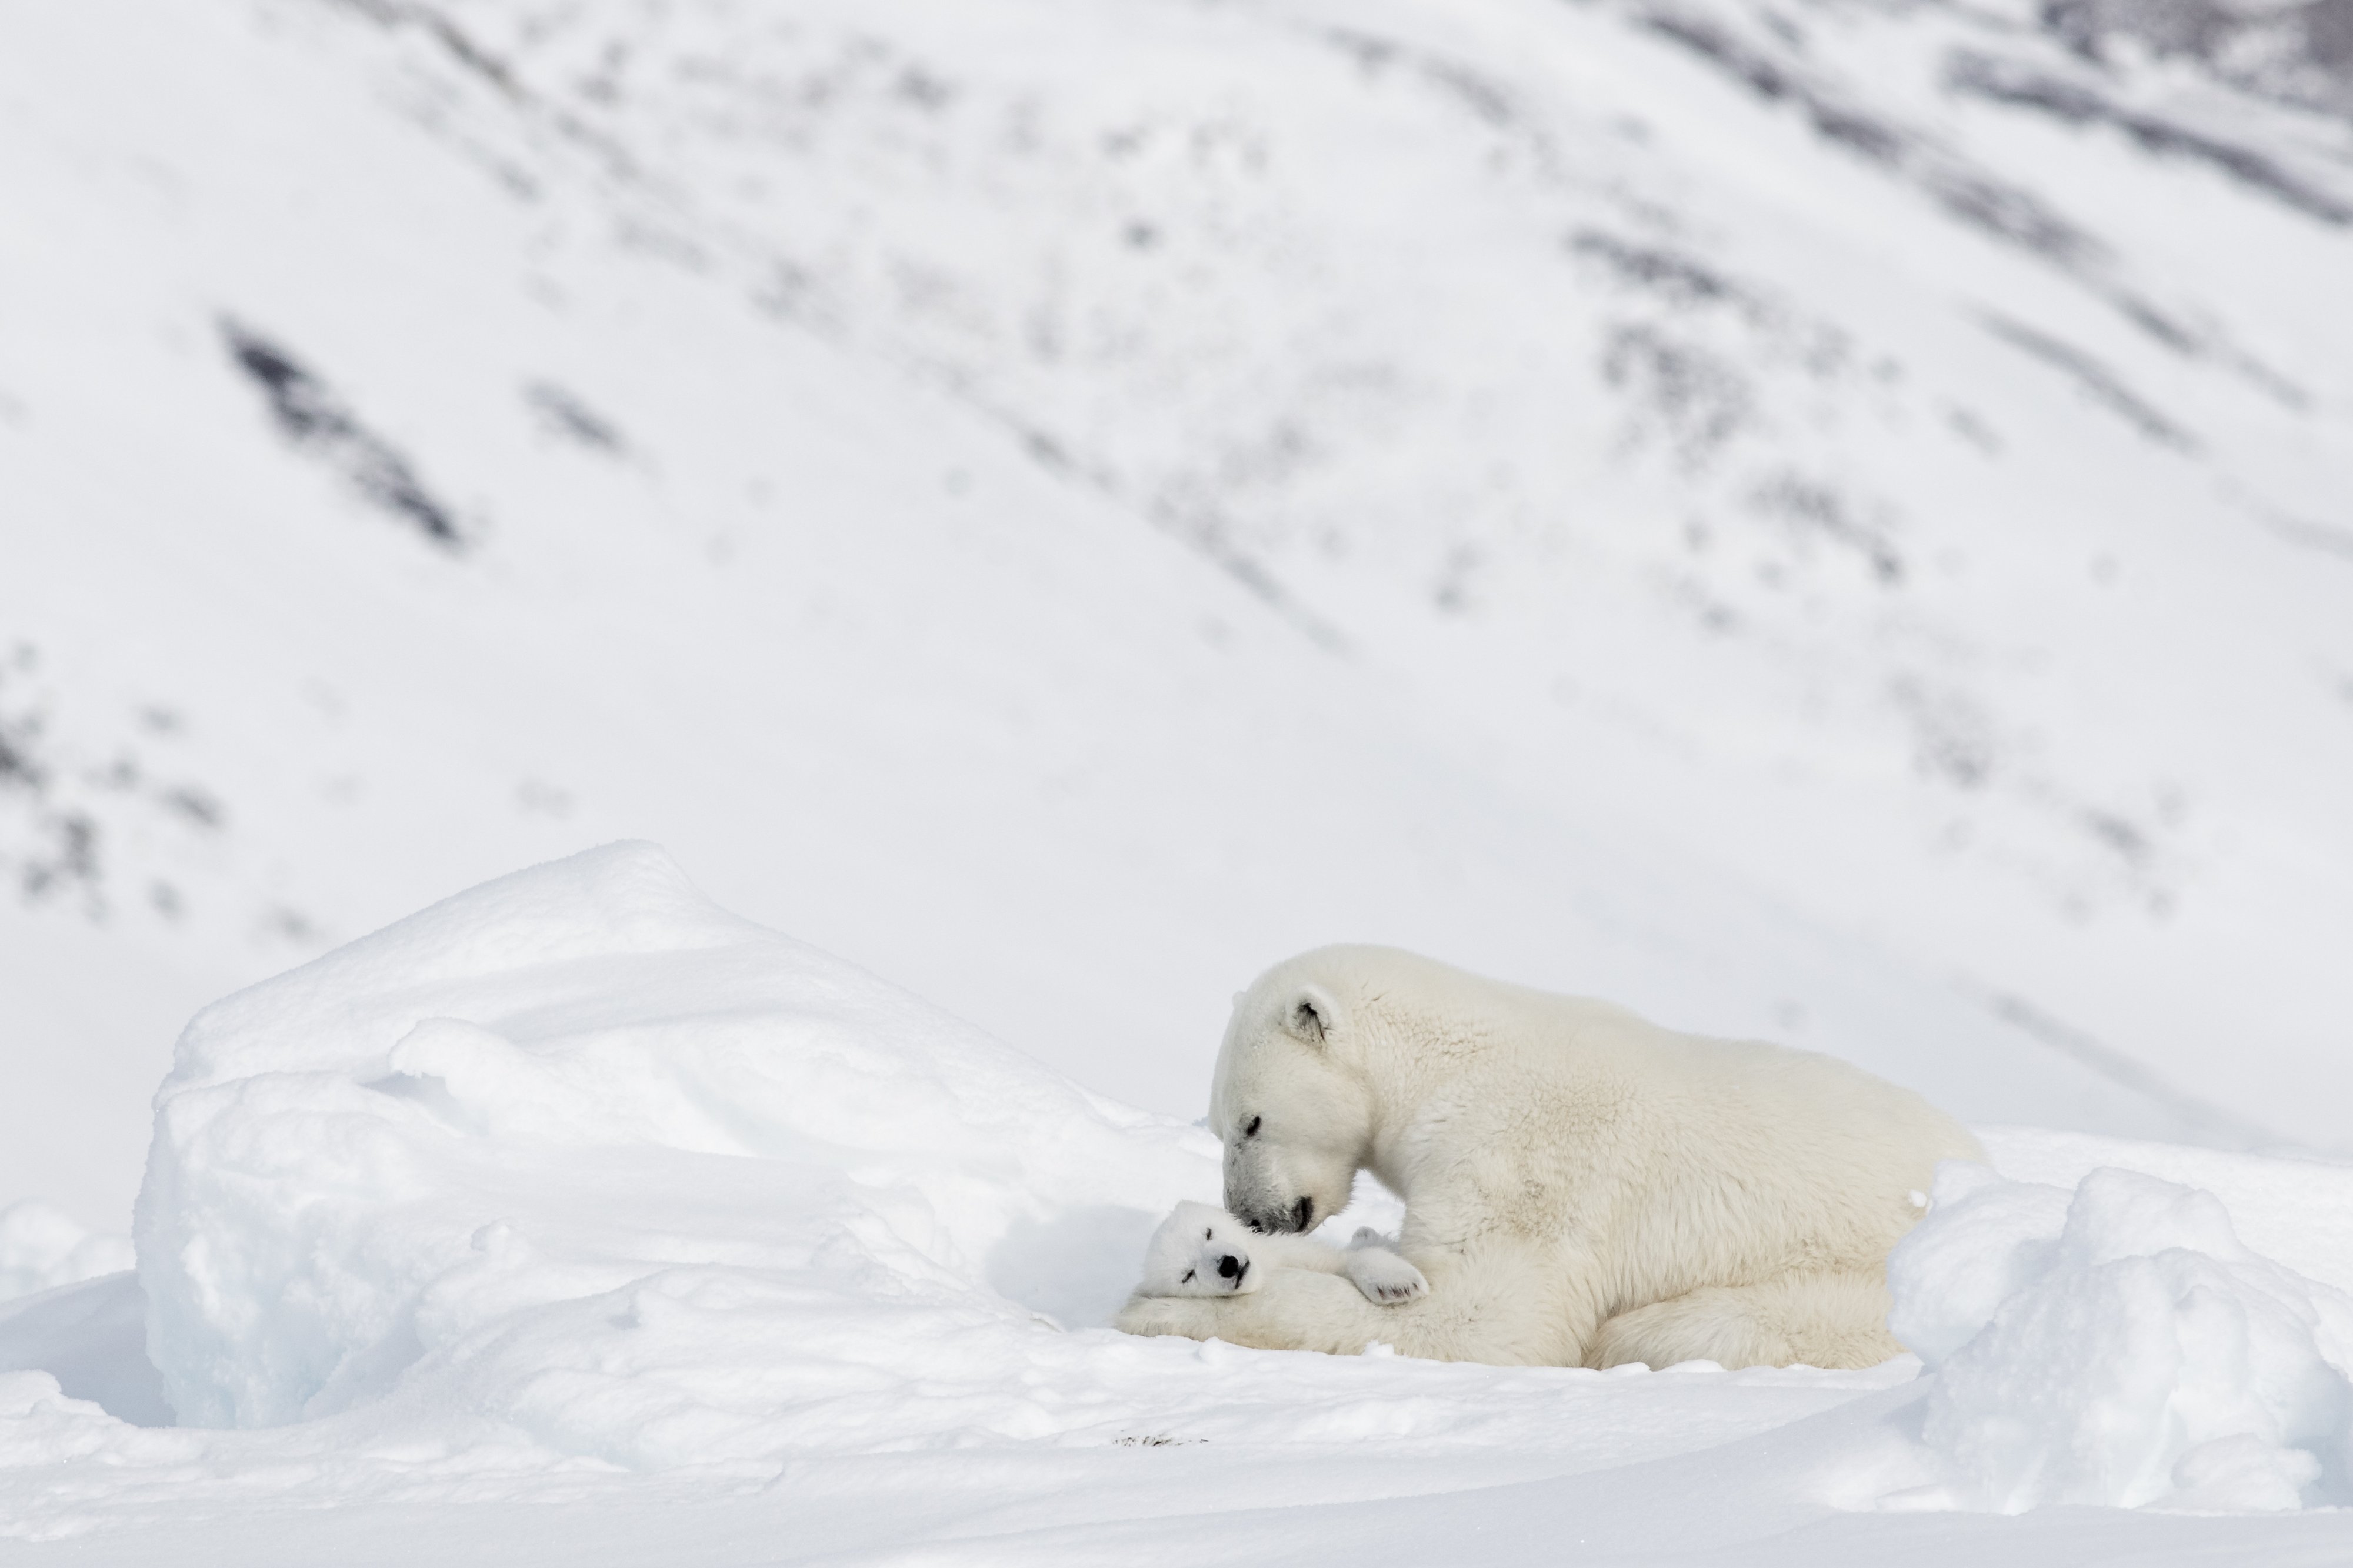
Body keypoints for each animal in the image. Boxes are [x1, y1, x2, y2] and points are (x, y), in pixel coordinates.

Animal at [1130, 1199, 1429, 1305]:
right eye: (1187, 1275)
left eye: (1208, 1233)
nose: (1228, 1264)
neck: (1267, 1267)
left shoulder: (1290, 1250)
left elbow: (1339, 1259)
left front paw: (1399, 1282)